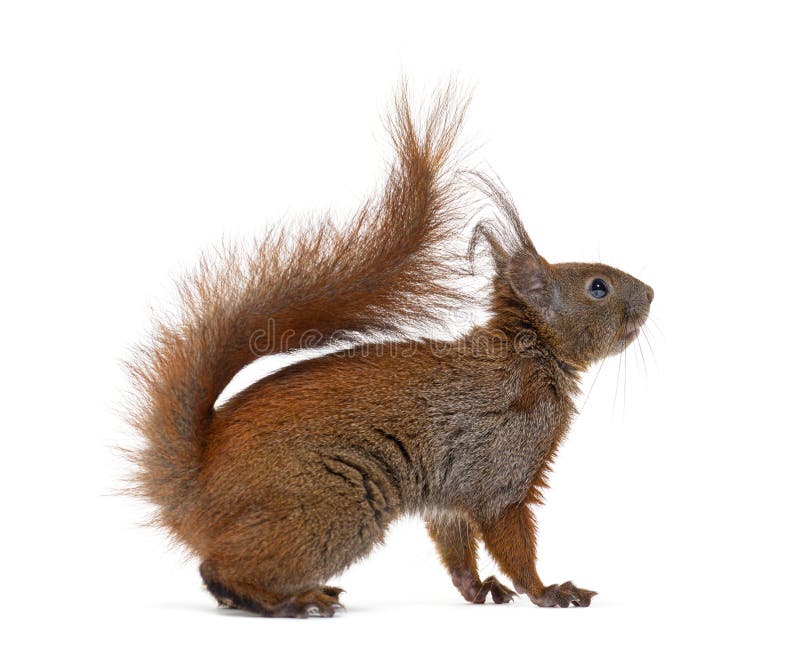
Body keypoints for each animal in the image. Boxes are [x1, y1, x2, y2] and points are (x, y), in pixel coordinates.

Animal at [126, 86, 654, 618]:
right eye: (599, 287)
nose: (651, 294)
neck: (528, 354)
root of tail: (196, 490)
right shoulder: (502, 466)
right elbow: (509, 535)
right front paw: (548, 591)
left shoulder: (449, 493)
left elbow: (453, 539)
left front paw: (477, 587)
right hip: (334, 505)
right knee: (220, 568)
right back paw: (291, 601)